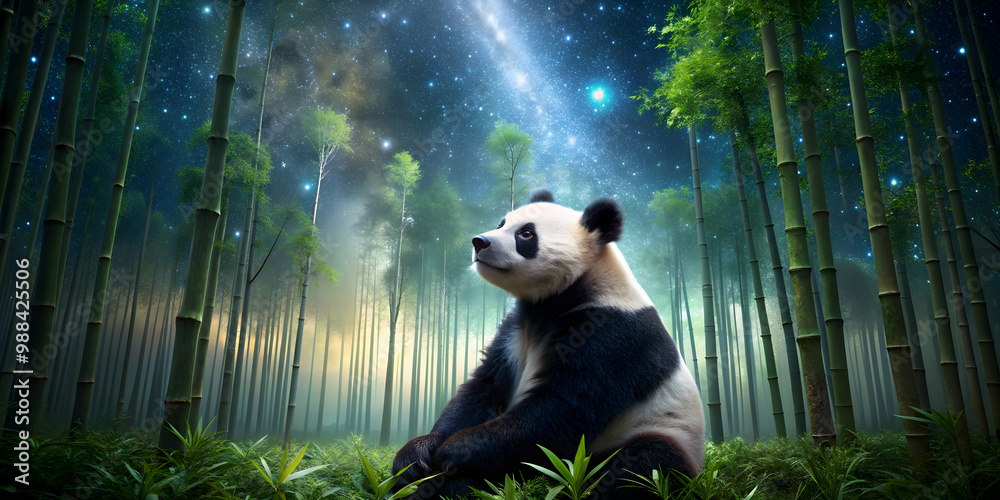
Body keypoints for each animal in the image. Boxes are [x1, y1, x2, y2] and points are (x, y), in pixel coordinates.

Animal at [392, 190, 704, 499]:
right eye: (500, 224)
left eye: (526, 234)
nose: (479, 242)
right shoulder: (515, 329)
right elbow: (481, 388)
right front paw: (417, 454)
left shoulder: (614, 334)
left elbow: (562, 409)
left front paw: (454, 451)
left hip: (657, 432)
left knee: (644, 464)